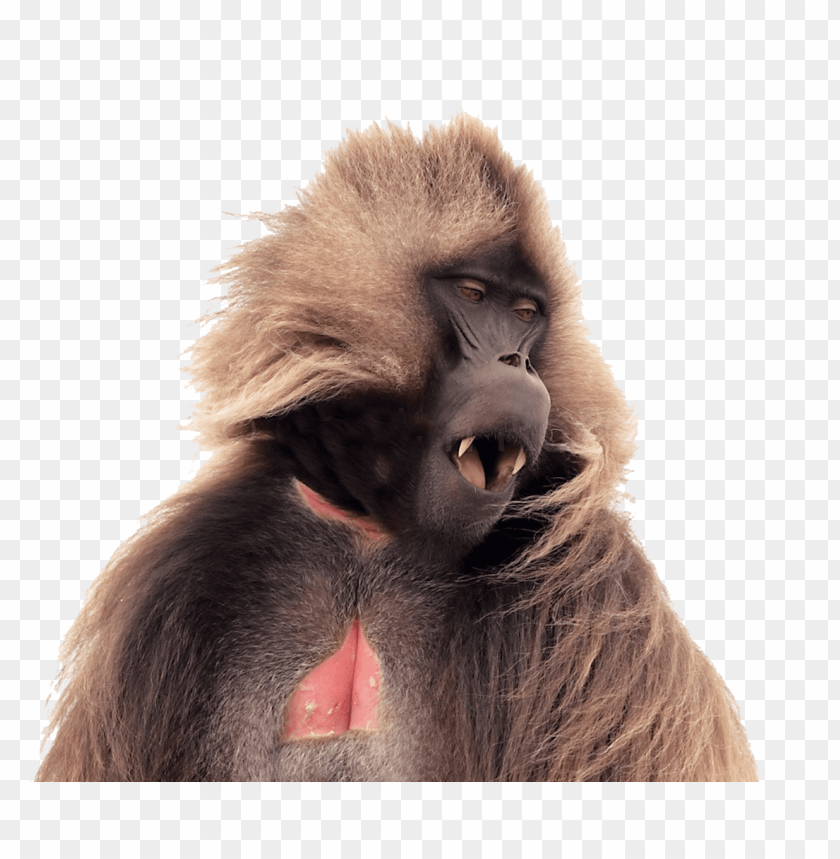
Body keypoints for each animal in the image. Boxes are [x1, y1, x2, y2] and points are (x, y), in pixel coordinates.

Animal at [37, 115, 757, 781]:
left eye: (526, 314)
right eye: (473, 296)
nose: (517, 364)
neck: (373, 533)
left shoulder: (595, 596)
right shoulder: (176, 581)